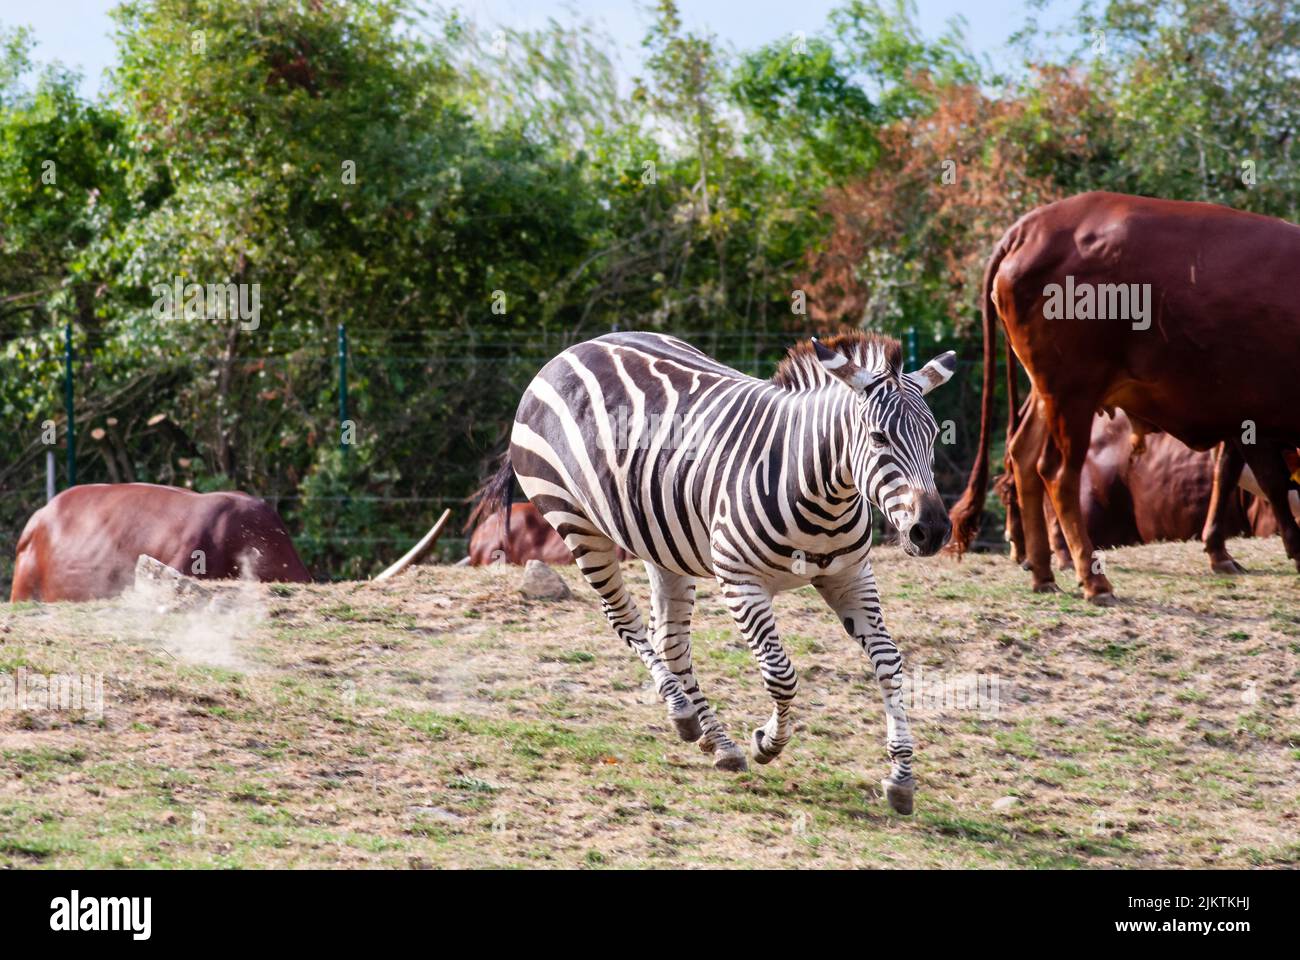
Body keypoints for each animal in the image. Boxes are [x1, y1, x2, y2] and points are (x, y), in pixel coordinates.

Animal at [486, 330, 956, 814]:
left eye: (933, 436)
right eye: (879, 438)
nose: (933, 531)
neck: (821, 490)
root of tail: (576, 349)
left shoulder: (850, 577)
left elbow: (889, 663)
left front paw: (901, 776)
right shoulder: (739, 582)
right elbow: (781, 675)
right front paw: (767, 743)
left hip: (660, 541)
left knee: (670, 638)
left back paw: (715, 740)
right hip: (575, 521)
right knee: (624, 619)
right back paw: (685, 713)